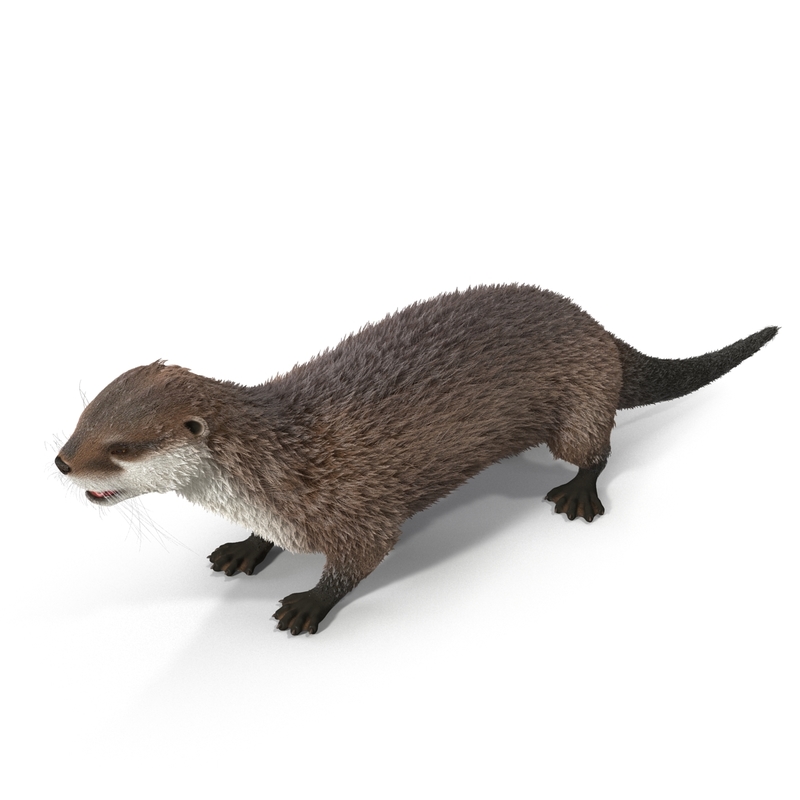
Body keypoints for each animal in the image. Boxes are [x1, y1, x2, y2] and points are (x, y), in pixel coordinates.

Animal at [55, 285, 777, 635]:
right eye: (83, 419)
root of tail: (597, 328)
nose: (62, 464)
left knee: (594, 450)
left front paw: (308, 604)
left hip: (579, 404)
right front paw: (244, 549)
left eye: (121, 448)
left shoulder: (350, 505)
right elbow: (264, 539)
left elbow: (360, 558)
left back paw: (579, 494)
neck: (272, 464)